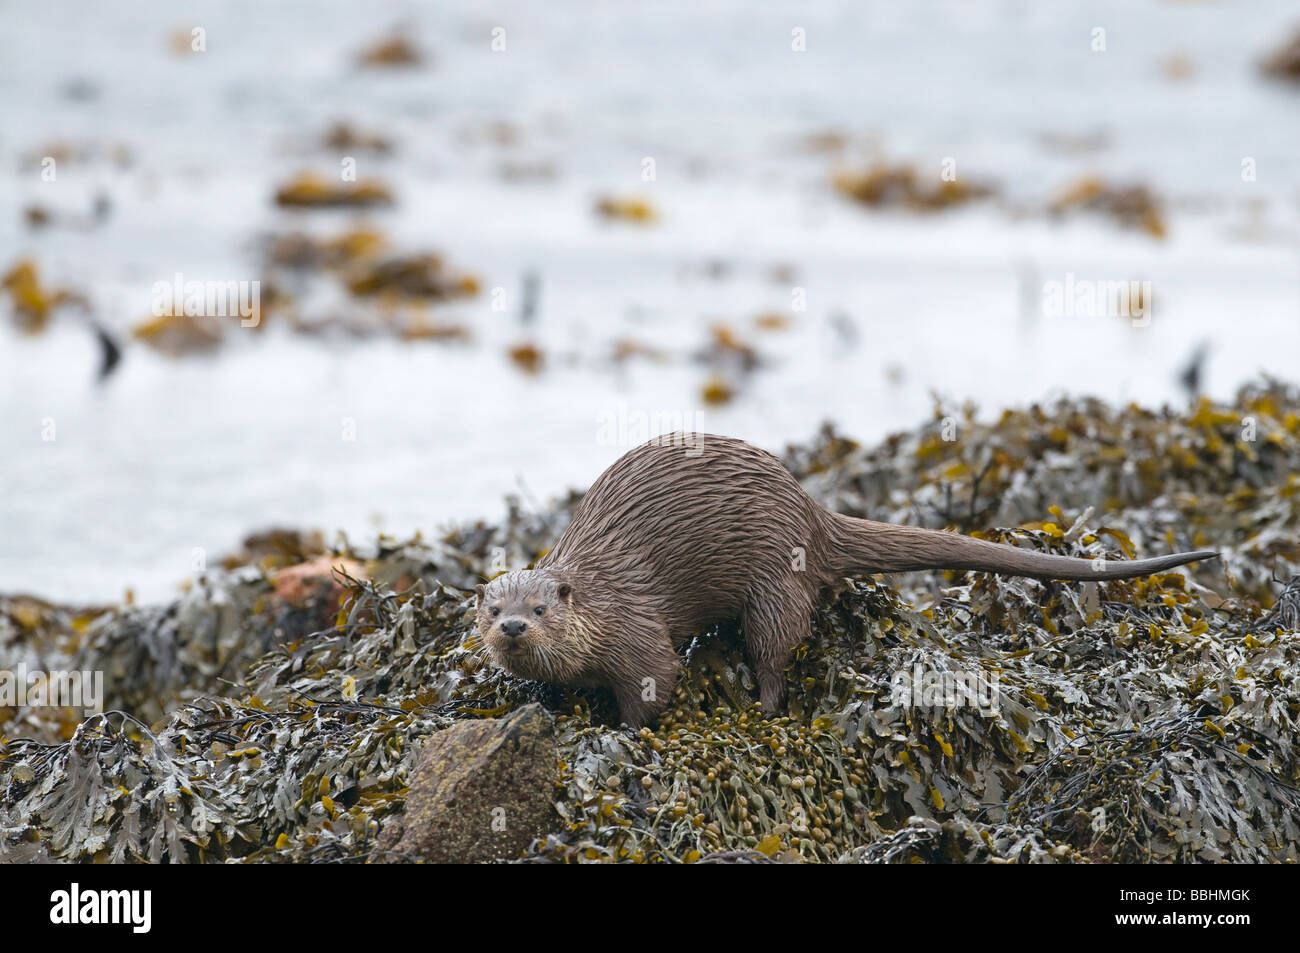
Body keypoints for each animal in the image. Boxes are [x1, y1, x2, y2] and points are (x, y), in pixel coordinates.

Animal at [475, 434, 1216, 727]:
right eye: (491, 610)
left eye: (539, 609)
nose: (511, 626)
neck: (598, 606)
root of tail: (810, 508)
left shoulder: (636, 631)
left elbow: (654, 682)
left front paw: (622, 732)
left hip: (775, 578)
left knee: (776, 649)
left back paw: (762, 706)